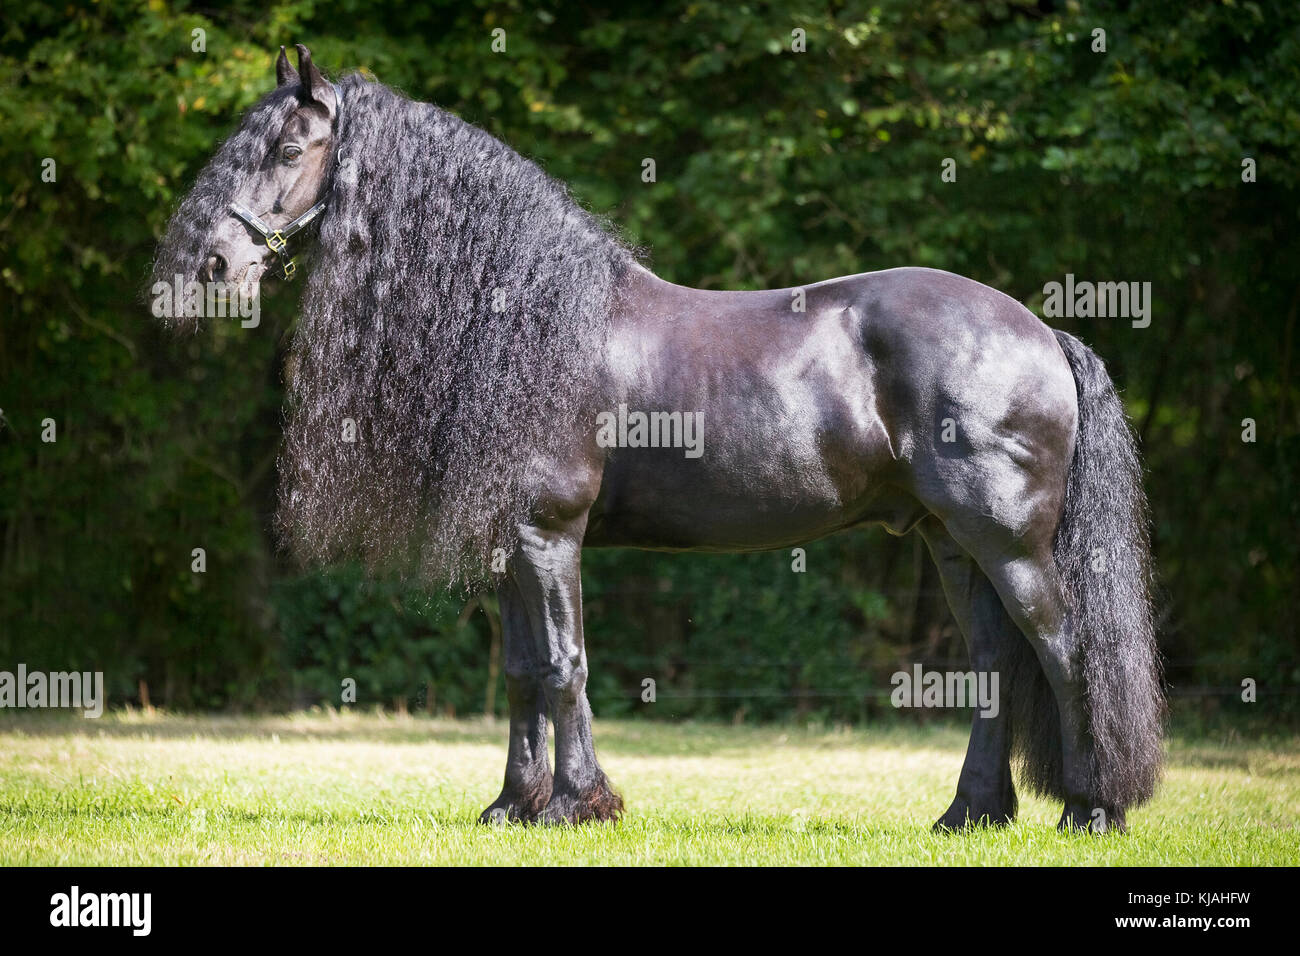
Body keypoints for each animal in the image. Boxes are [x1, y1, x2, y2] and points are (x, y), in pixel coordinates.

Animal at [152, 46, 1164, 832]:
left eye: (289, 146)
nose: (208, 269)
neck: (531, 322)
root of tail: (1042, 332)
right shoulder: (514, 545)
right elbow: (522, 671)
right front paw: (511, 806)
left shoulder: (548, 535)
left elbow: (564, 665)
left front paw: (577, 804)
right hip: (951, 542)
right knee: (995, 665)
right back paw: (968, 815)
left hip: (1009, 542)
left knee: (1064, 652)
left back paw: (1092, 810)